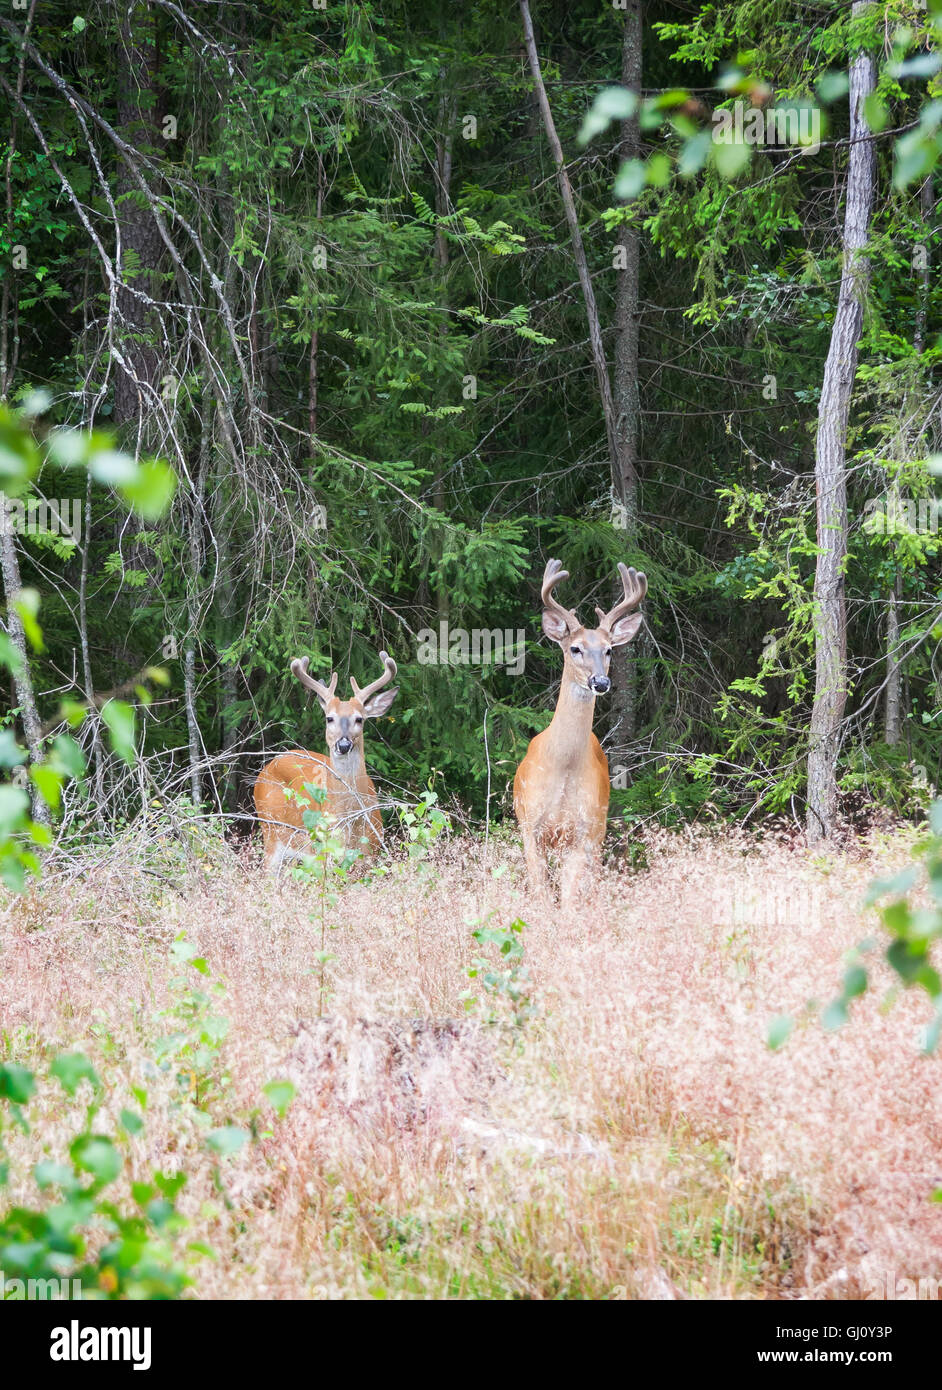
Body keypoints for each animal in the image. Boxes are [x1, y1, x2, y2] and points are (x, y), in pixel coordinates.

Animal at [254, 649, 399, 872]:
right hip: (270, 831)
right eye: (329, 718)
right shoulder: (325, 855)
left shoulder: (372, 850)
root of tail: (267, 767)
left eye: (359, 719)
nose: (344, 745)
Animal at [513, 559, 647, 905]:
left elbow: (569, 904)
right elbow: (543, 898)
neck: (562, 768)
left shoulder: (580, 832)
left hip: (597, 828)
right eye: (575, 648)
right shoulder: (530, 828)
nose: (600, 682)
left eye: (609, 650)